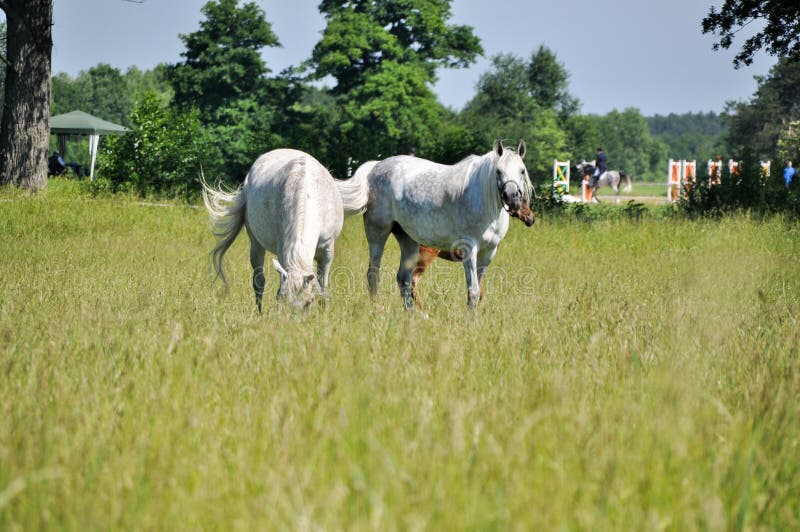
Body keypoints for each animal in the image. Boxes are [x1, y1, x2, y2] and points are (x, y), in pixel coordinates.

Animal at [201, 148, 344, 312]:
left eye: (308, 302)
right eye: (283, 301)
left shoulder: (327, 249)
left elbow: (323, 288)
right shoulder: (282, 250)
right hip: (255, 244)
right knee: (258, 281)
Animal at [335, 140, 534, 310]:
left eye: (522, 171)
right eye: (498, 171)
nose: (512, 198)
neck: (484, 200)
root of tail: (375, 167)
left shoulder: (489, 251)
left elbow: (479, 292)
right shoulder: (469, 248)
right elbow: (474, 292)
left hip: (408, 240)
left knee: (404, 279)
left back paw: (414, 316)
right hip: (378, 233)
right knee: (374, 274)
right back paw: (378, 311)